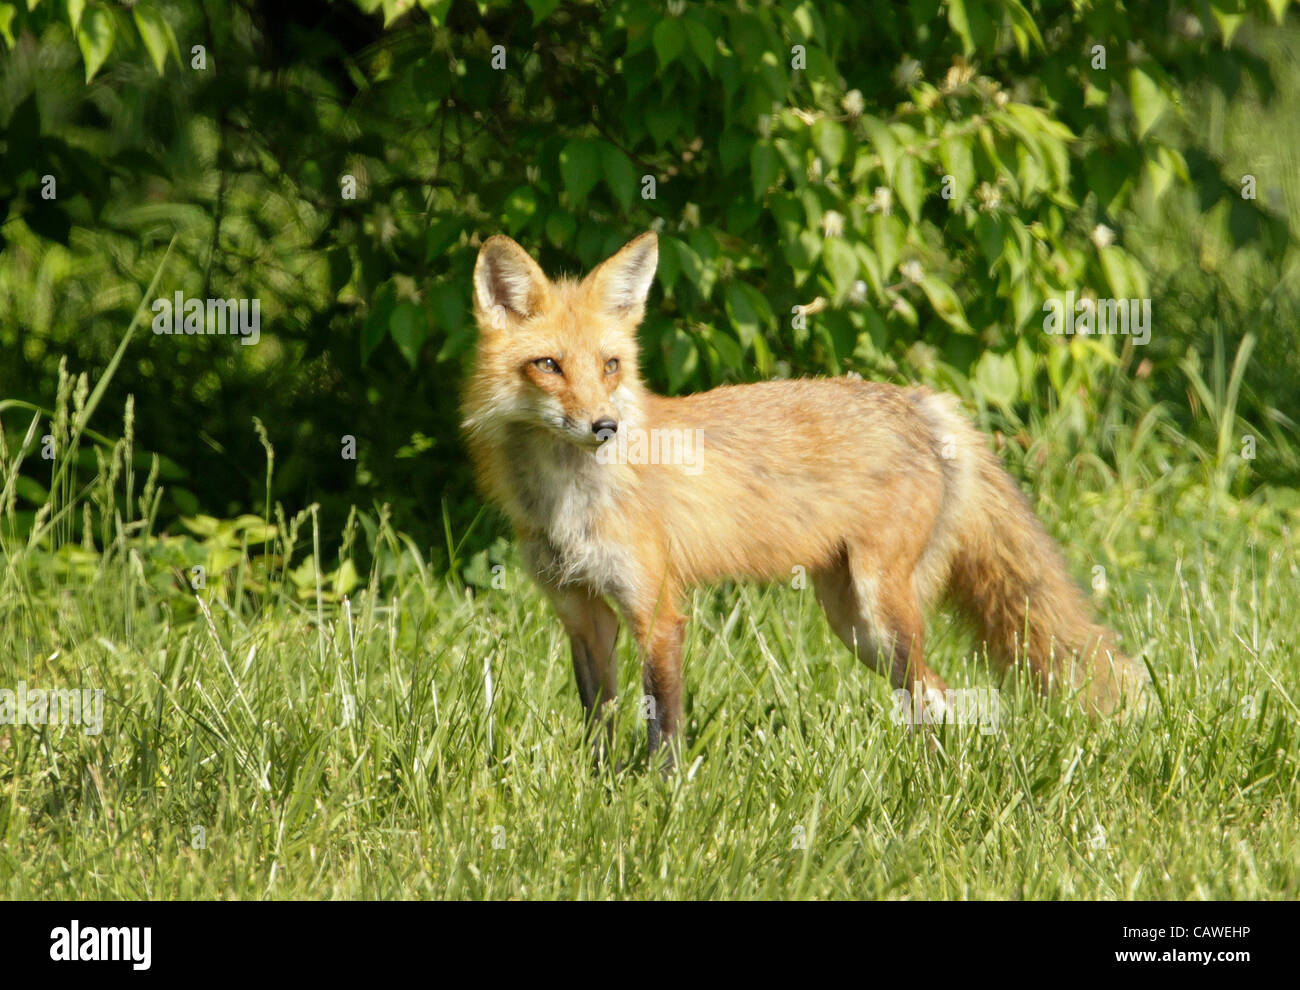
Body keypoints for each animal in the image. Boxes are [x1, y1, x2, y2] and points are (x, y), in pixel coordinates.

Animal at [462, 231, 1154, 764]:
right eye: (548, 365)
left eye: (610, 366)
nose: (605, 426)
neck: (567, 500)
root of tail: (921, 400)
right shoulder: (581, 612)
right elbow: (598, 721)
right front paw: (601, 790)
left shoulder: (656, 610)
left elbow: (665, 726)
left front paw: (663, 798)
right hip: (853, 624)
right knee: (934, 699)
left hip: (879, 612)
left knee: (936, 696)